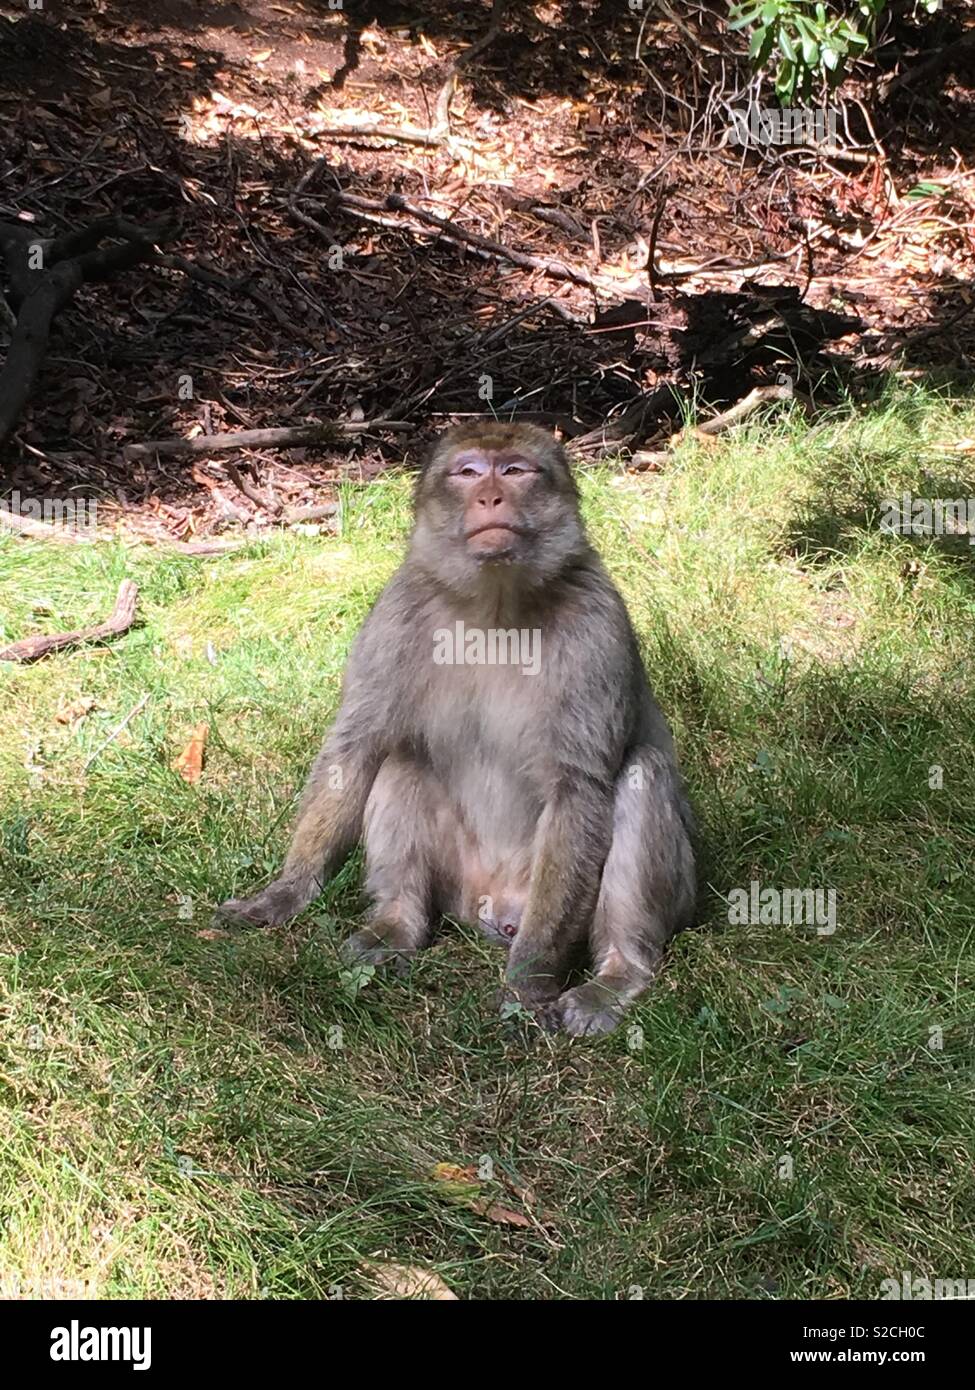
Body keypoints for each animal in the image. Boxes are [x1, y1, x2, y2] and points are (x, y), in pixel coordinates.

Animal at [216, 422, 696, 1036]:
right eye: (468, 472)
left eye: (514, 470)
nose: (489, 497)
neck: (496, 607)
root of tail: (496, 911)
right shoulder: (397, 613)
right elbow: (357, 746)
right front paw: (286, 893)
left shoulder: (597, 627)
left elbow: (578, 786)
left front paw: (528, 983)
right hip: (459, 887)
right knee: (402, 760)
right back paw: (395, 924)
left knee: (643, 774)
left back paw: (616, 974)